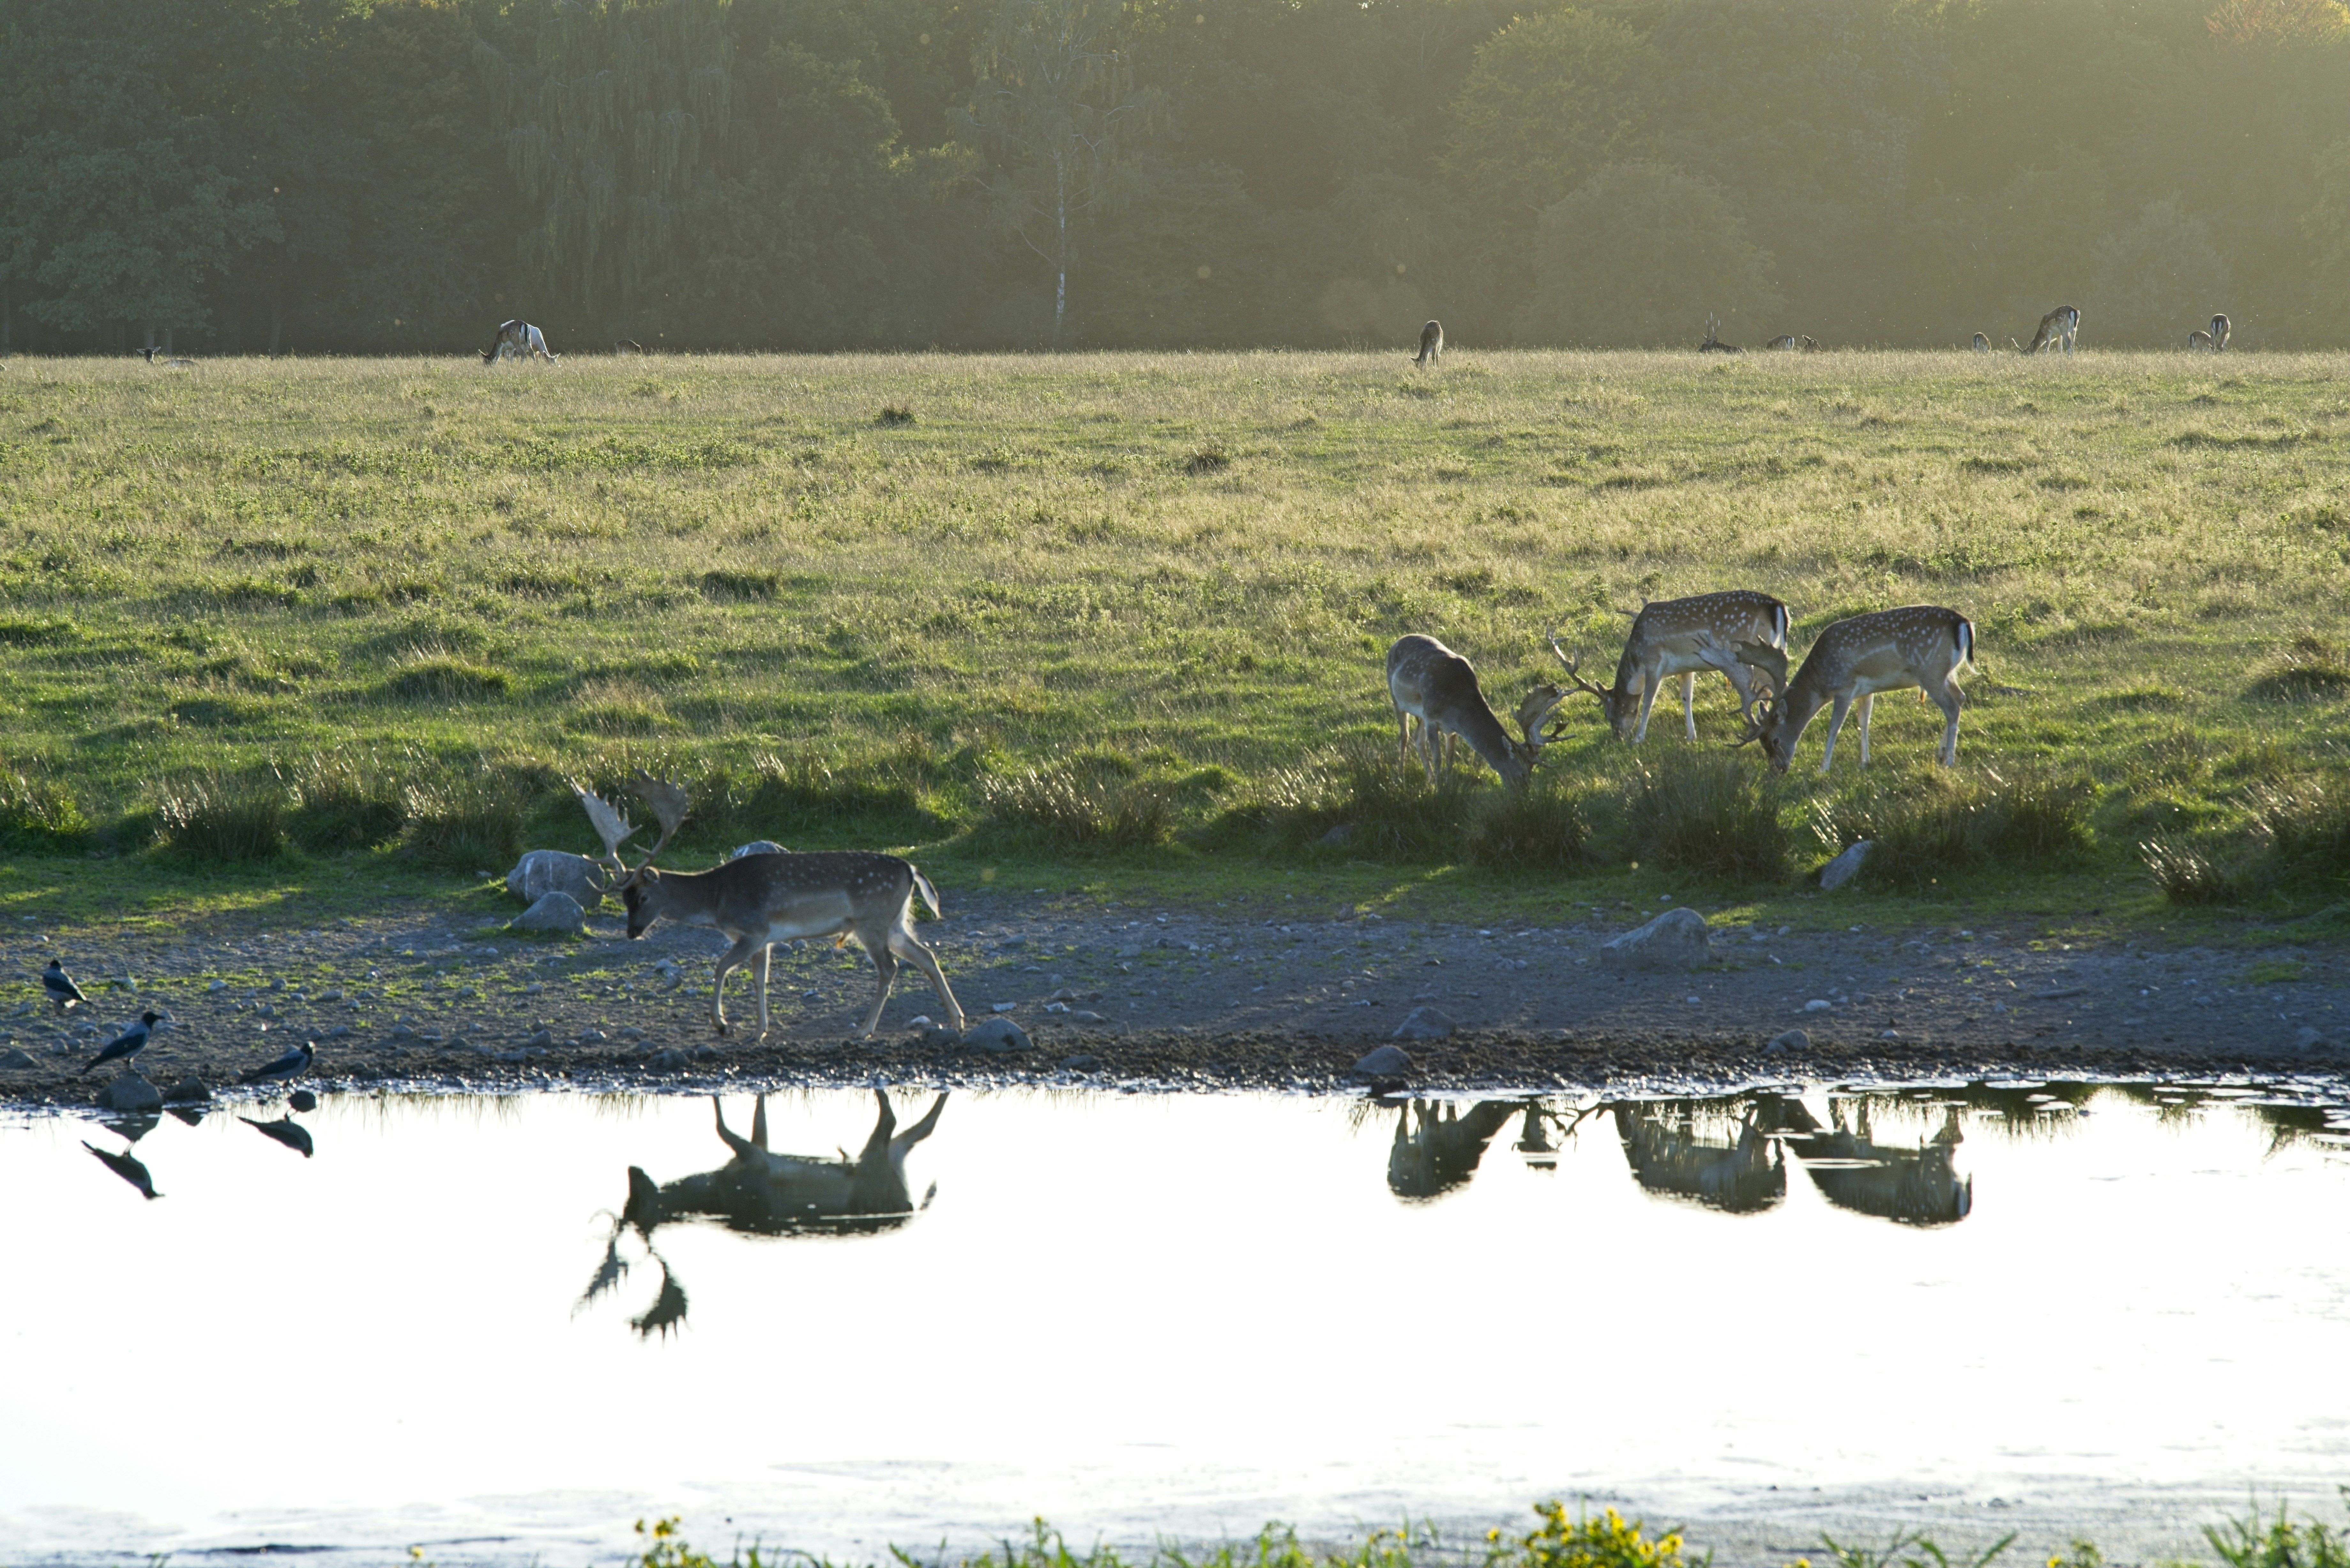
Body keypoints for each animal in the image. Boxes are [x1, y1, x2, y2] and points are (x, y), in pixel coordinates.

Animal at [577, 772, 965, 1040]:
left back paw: (864, 1029)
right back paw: (957, 1019)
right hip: (895, 922)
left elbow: (721, 967)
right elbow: (759, 980)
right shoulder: (763, 939)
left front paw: (722, 1024)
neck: (717, 899)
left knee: (890, 968)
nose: (631, 932)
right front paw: (759, 1030)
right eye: (624, 898)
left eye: (643, 897)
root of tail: (911, 869)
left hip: (871, 921)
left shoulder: (753, 929)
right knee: (926, 955)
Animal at [1386, 635, 1567, 791]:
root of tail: (1396, 642)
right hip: (1396, 697)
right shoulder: (1431, 717)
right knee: (1405, 736)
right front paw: (1440, 790)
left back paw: (1429, 780)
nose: (1524, 797)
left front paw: (1447, 786)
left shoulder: (1450, 729)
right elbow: (1438, 758)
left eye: (1531, 774)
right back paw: (1401, 777)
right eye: (1523, 774)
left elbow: (1450, 758)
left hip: (1420, 714)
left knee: (1418, 739)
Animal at [1412, 320, 1443, 367]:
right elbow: (1426, 359)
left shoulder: (1434, 346)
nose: (1420, 369)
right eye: (1416, 366)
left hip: (1440, 342)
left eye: (1420, 364)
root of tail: (1436, 321)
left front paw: (1434, 367)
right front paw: (1426, 367)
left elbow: (1433, 358)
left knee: (1437, 356)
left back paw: (1438, 367)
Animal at [1546, 590, 1791, 744]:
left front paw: (1639, 739)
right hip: (1775, 648)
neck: (1636, 657)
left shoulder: (1654, 662)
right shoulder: (1686, 668)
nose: (1618, 737)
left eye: (1608, 714)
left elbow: (1648, 701)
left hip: (1752, 649)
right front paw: (1691, 737)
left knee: (1766, 691)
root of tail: (1777, 607)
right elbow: (1686, 698)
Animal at [1726, 605, 1975, 773]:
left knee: (1952, 708)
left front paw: (1823, 768)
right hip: (1946, 674)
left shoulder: (1845, 687)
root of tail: (1963, 624)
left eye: (1775, 740)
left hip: (1931, 672)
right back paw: (1941, 753)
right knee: (1961, 698)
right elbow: (1864, 722)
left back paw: (1950, 760)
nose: (1779, 769)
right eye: (1763, 743)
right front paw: (1865, 762)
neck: (1820, 679)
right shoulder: (1866, 690)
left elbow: (1834, 727)